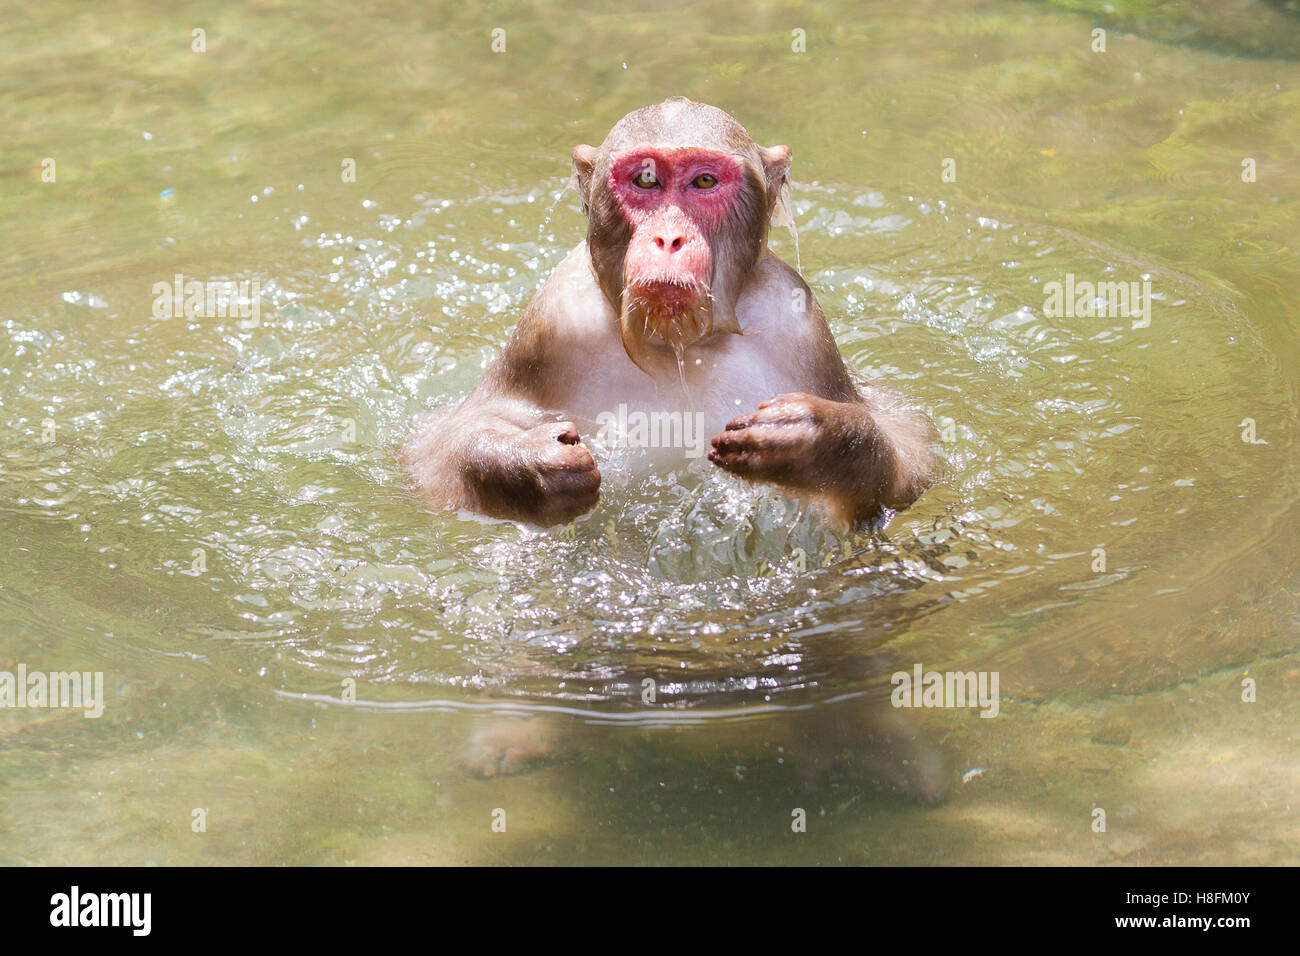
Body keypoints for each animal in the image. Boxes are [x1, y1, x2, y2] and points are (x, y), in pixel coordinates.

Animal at [401, 97, 935, 529]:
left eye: (704, 181)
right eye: (646, 179)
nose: (668, 238)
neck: (676, 345)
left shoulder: (799, 320)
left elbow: (912, 450)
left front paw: (810, 437)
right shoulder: (551, 319)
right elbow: (438, 447)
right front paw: (535, 464)